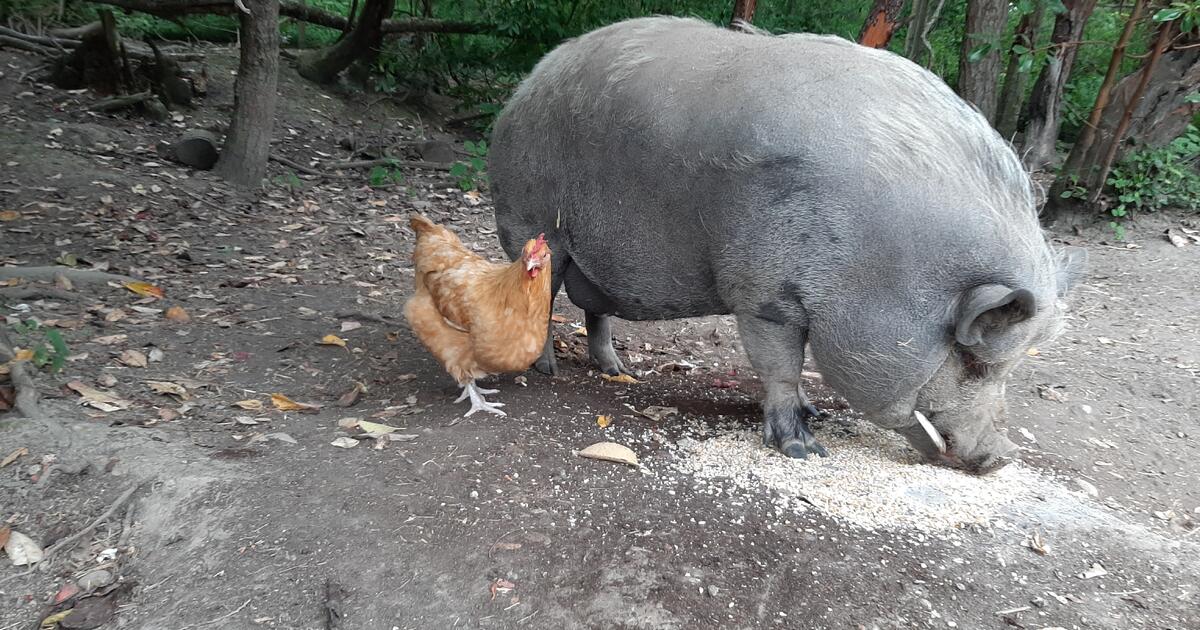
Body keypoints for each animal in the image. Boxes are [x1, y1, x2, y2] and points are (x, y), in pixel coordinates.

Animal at [489, 16, 1086, 474]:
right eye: (974, 358)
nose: (1002, 457)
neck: (882, 260)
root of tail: (526, 86)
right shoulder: (762, 295)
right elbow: (781, 366)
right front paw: (802, 450)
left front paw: (814, 417)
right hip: (533, 226)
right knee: (541, 299)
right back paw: (545, 373)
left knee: (595, 312)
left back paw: (619, 372)